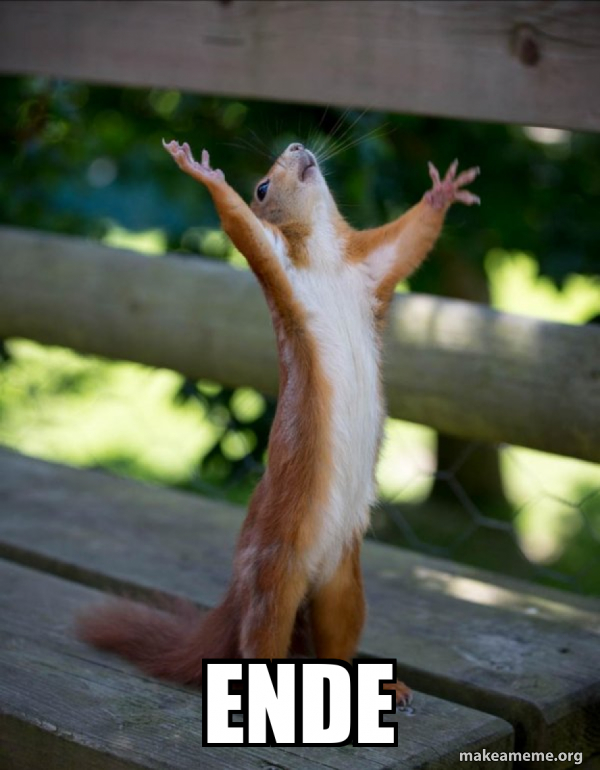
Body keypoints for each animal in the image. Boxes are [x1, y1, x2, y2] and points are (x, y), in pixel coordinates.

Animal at [77, 138, 480, 707]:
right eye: (262, 187)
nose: (296, 146)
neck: (328, 260)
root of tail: (238, 590)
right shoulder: (277, 265)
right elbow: (240, 226)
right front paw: (203, 173)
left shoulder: (372, 267)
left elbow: (410, 239)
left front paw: (443, 191)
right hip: (274, 577)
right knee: (261, 643)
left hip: (344, 586)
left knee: (336, 642)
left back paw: (384, 684)